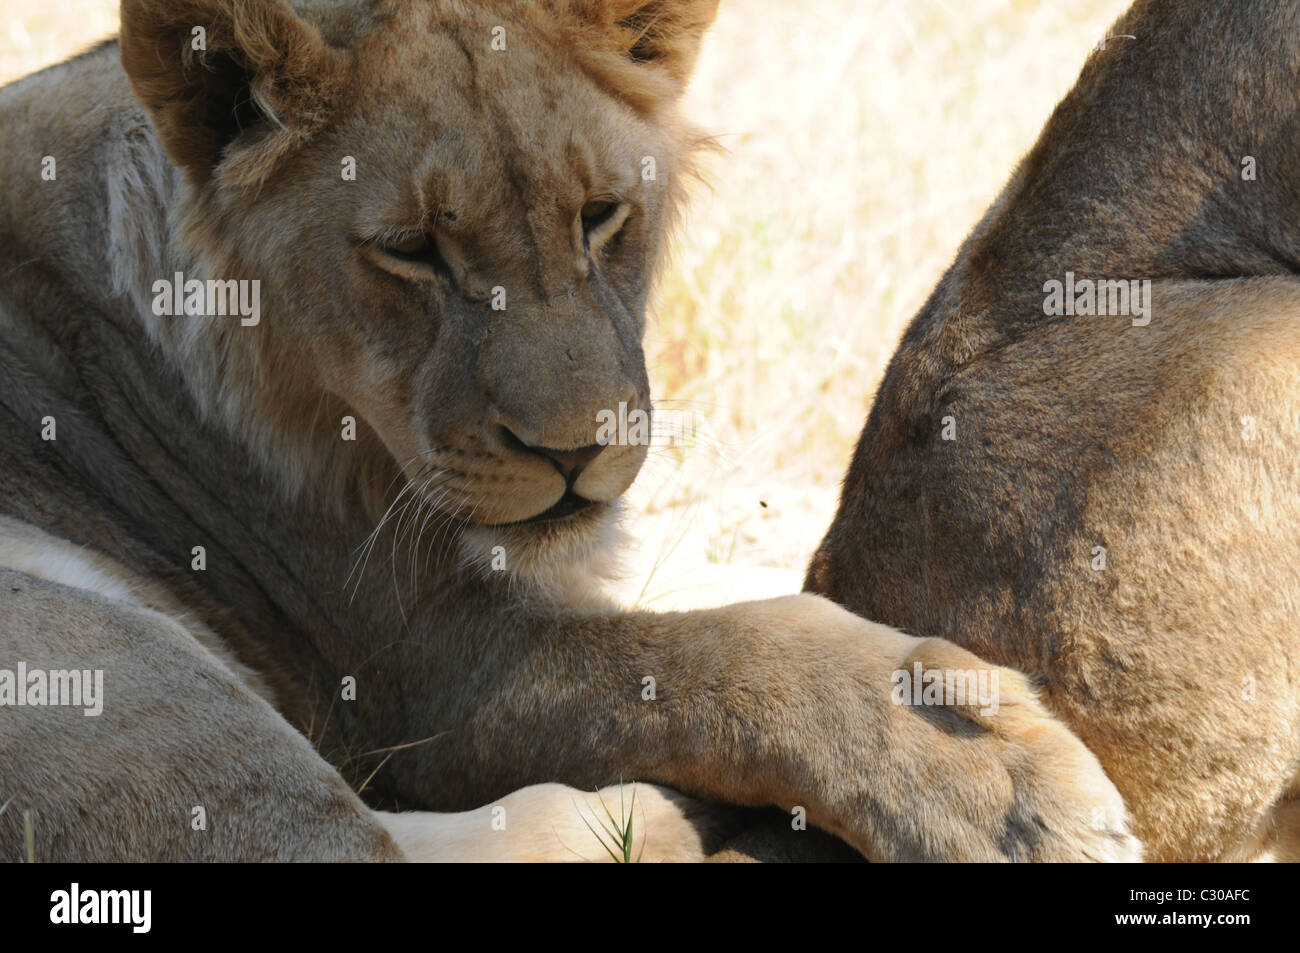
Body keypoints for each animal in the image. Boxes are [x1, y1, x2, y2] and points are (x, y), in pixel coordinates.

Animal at [0, 0, 1136, 862]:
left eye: (601, 215)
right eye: (411, 250)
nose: (574, 453)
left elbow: (744, 588)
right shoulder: (429, 673)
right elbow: (728, 647)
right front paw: (990, 772)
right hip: (103, 654)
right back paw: (667, 813)